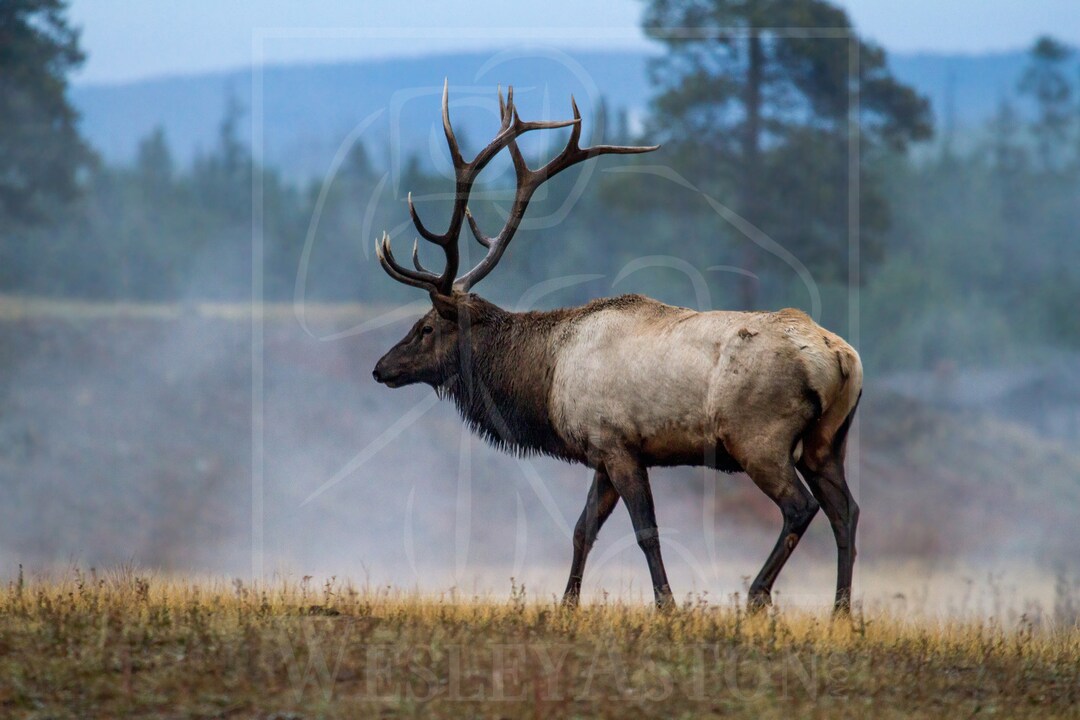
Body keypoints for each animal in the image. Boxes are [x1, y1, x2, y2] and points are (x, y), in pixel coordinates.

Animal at [372, 82, 863, 613]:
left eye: (425, 327)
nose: (380, 368)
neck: (545, 378)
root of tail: (841, 359)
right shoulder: (602, 453)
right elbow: (582, 529)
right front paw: (566, 603)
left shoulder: (618, 443)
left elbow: (645, 531)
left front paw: (667, 605)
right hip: (828, 441)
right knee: (847, 512)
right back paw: (840, 610)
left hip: (759, 437)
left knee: (801, 507)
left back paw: (756, 595)